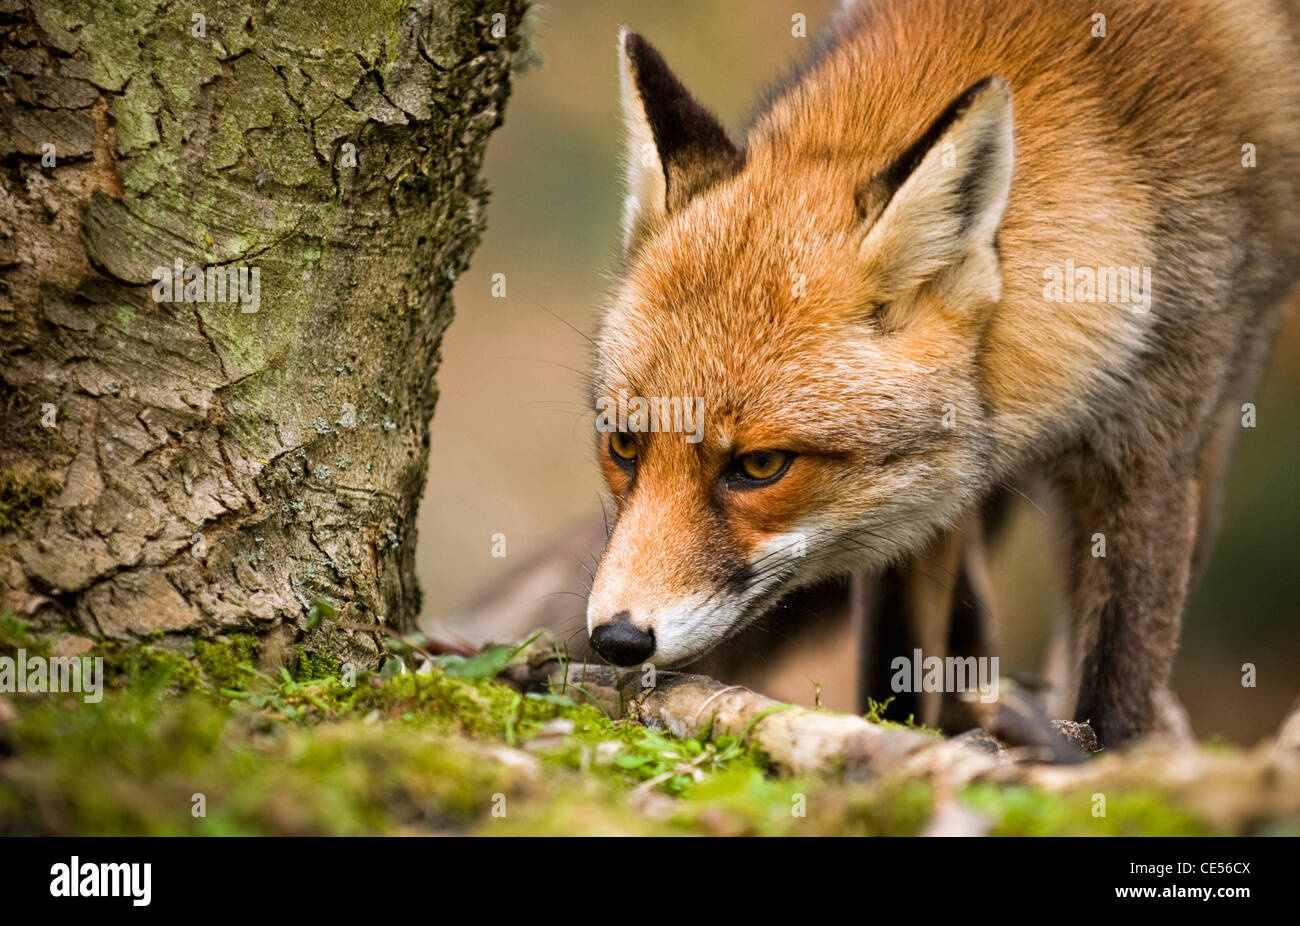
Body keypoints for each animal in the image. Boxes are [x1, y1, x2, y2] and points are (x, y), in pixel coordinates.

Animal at [584, 0, 1300, 746]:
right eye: (623, 444)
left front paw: (1108, 757)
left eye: (760, 466)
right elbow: (896, 660)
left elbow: (1119, 680)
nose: (617, 639)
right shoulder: (904, 512)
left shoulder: (1150, 452)